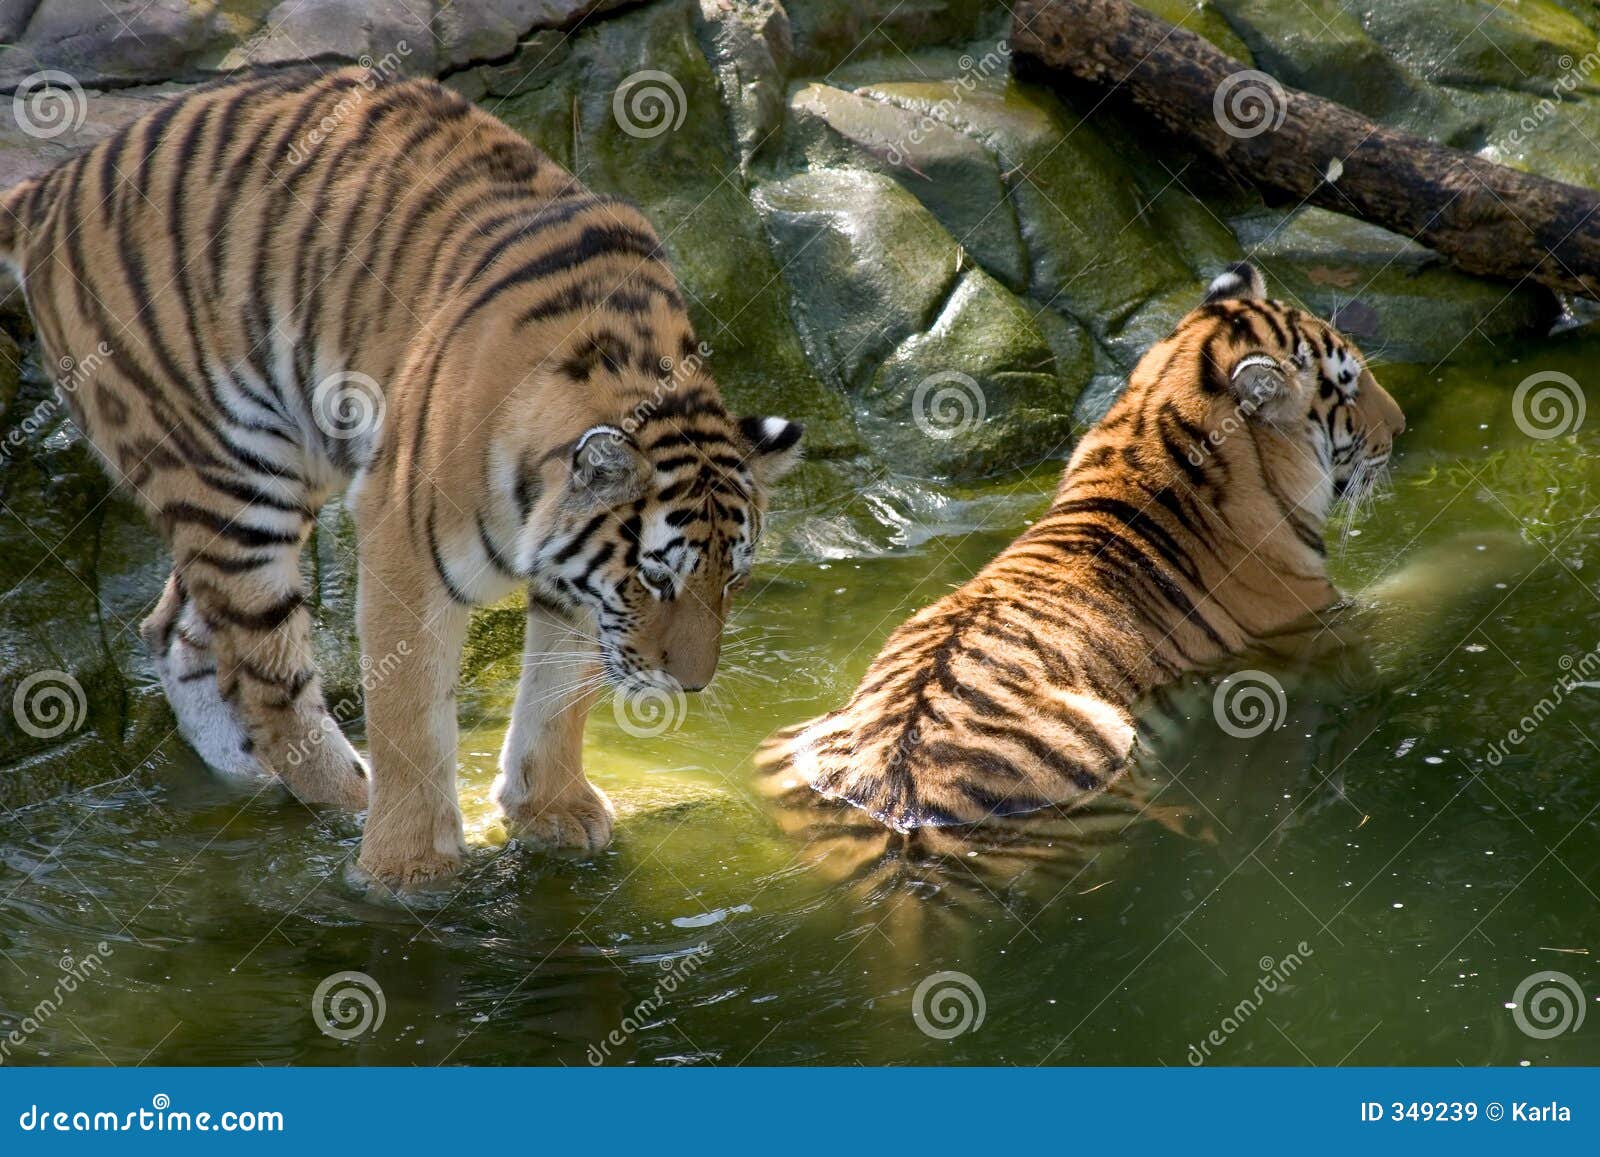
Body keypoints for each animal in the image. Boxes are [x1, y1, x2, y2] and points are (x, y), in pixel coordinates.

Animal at [0, 67, 802, 889]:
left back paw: (249, 778)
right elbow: (411, 712)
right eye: (655, 578)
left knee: (175, 630)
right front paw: (408, 870)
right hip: (235, 476)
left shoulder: (577, 581)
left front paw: (552, 813)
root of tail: (54, 184)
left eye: (734, 580)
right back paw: (346, 798)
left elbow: (558, 694)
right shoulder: (406, 546)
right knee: (264, 674)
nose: (691, 685)